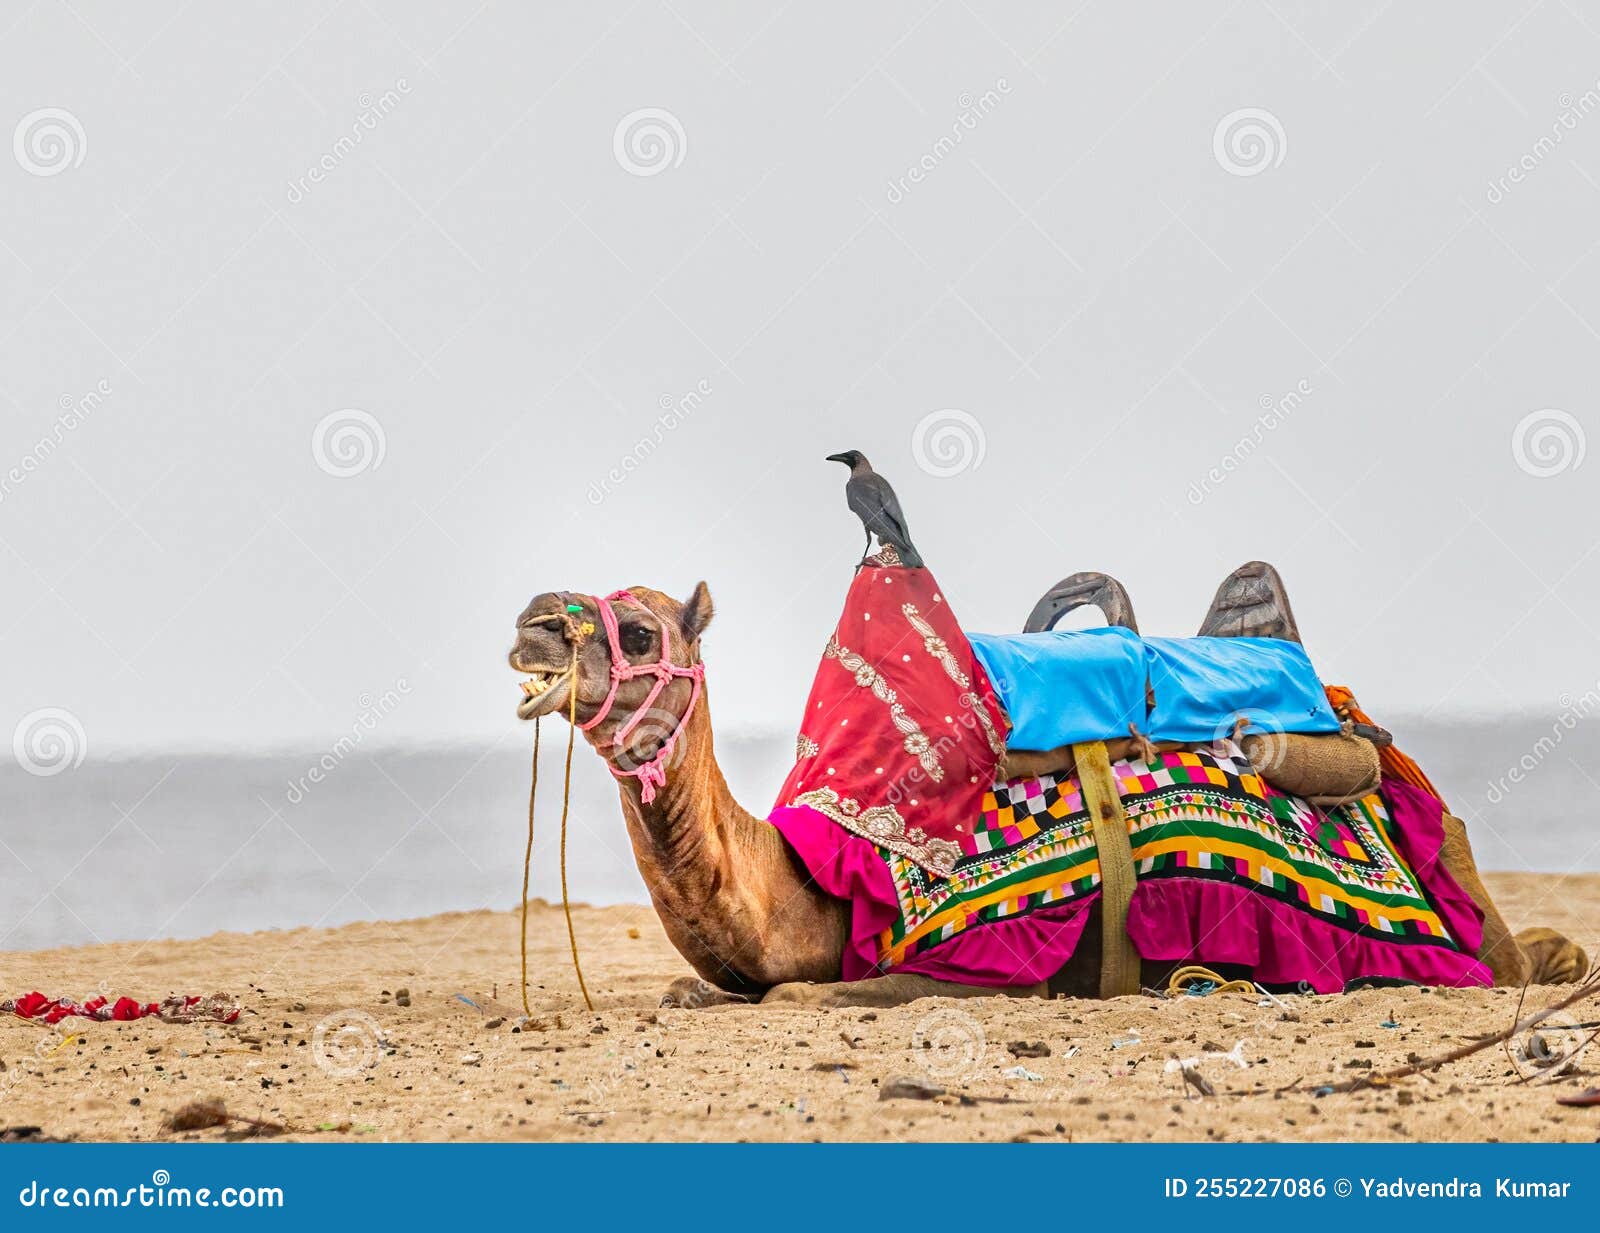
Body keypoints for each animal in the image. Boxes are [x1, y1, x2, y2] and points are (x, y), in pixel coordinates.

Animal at [508, 578, 1588, 1009]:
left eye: (638, 630)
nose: (531, 624)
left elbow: (799, 996)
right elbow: (697, 989)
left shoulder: (969, 964)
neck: (813, 885)